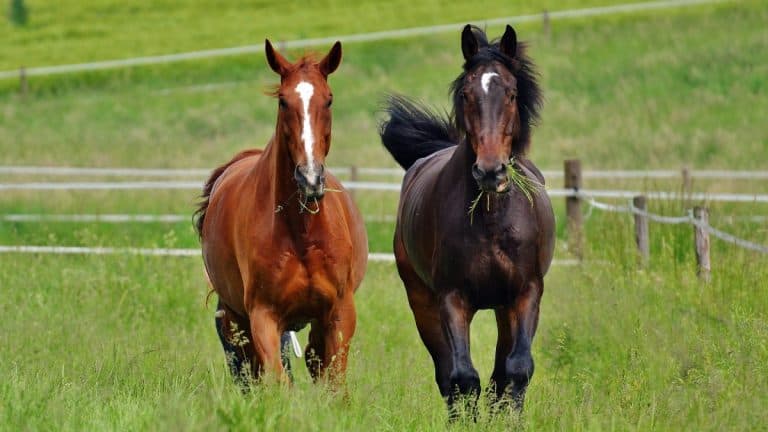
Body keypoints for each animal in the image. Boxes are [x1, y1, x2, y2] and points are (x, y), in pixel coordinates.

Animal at [195, 40, 368, 386]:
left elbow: (333, 382)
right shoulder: (263, 316)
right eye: (283, 102)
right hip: (236, 318)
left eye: (329, 99)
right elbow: (277, 380)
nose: (310, 178)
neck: (301, 232)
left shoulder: (340, 312)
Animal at [379, 25, 555, 416]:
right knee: (448, 376)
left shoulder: (526, 292)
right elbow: (462, 377)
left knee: (500, 372)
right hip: (422, 302)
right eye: (466, 93)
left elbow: (517, 370)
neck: (491, 221)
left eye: (512, 92)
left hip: (504, 308)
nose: (490, 171)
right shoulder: (451, 298)